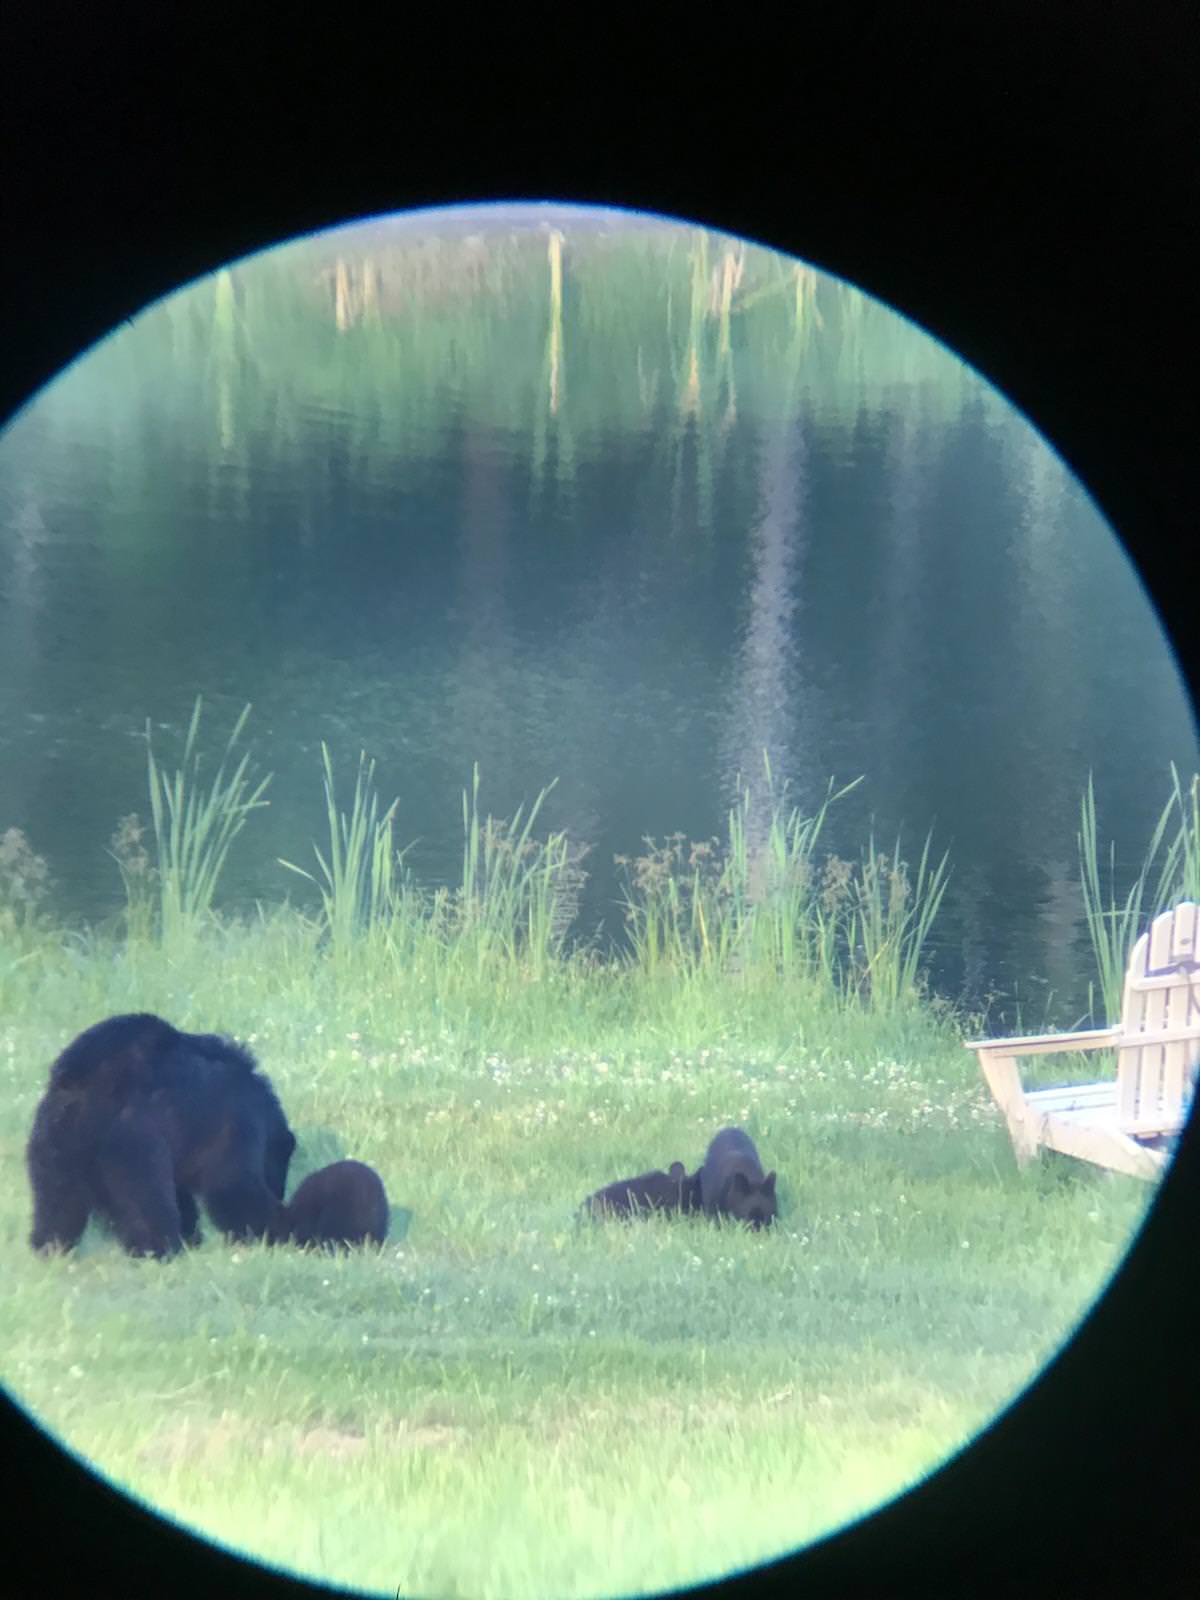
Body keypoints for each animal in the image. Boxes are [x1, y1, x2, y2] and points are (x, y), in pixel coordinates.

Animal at [26, 1012, 296, 1259]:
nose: (280, 1191)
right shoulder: (234, 1123)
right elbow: (231, 1183)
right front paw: (270, 1231)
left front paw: (192, 1236)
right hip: (133, 1142)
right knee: (146, 1201)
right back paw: (160, 1249)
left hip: (54, 1140)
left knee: (56, 1201)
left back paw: (50, 1248)